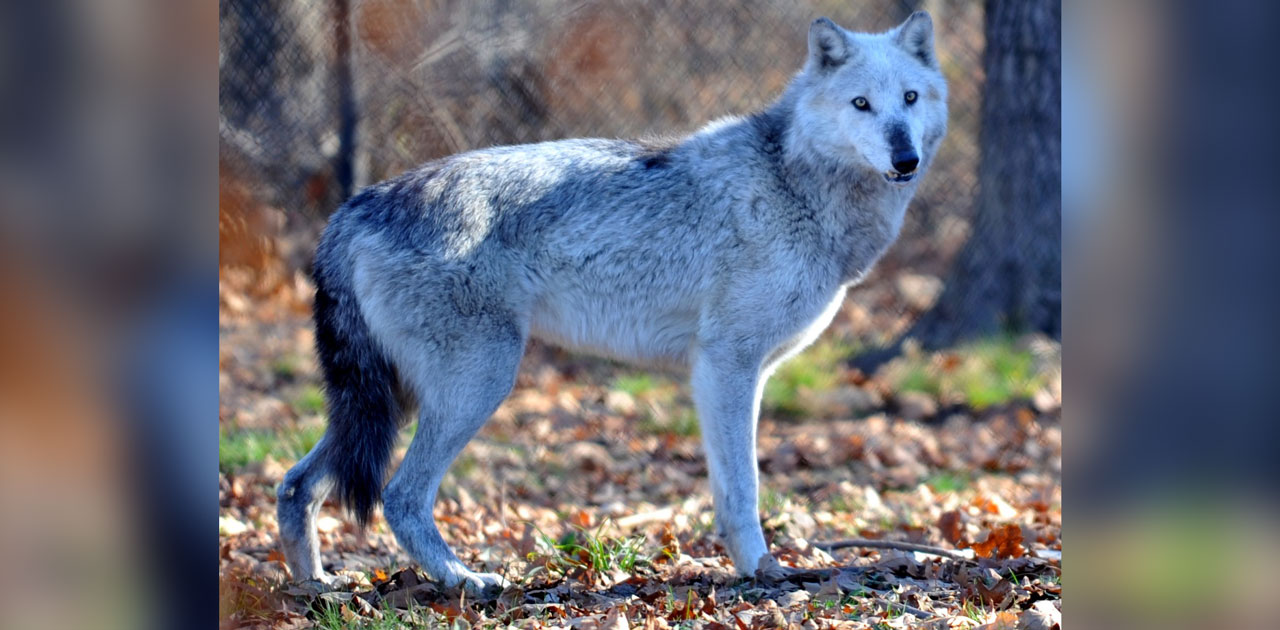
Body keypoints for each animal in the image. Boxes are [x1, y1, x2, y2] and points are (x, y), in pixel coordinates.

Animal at [277, 13, 947, 594]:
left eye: (910, 99)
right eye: (861, 104)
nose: (905, 159)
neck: (794, 183)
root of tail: (355, 206)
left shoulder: (735, 372)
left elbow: (727, 488)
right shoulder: (727, 365)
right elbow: (744, 489)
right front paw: (763, 572)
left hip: (387, 402)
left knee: (295, 484)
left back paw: (315, 587)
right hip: (475, 386)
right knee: (399, 496)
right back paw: (465, 581)